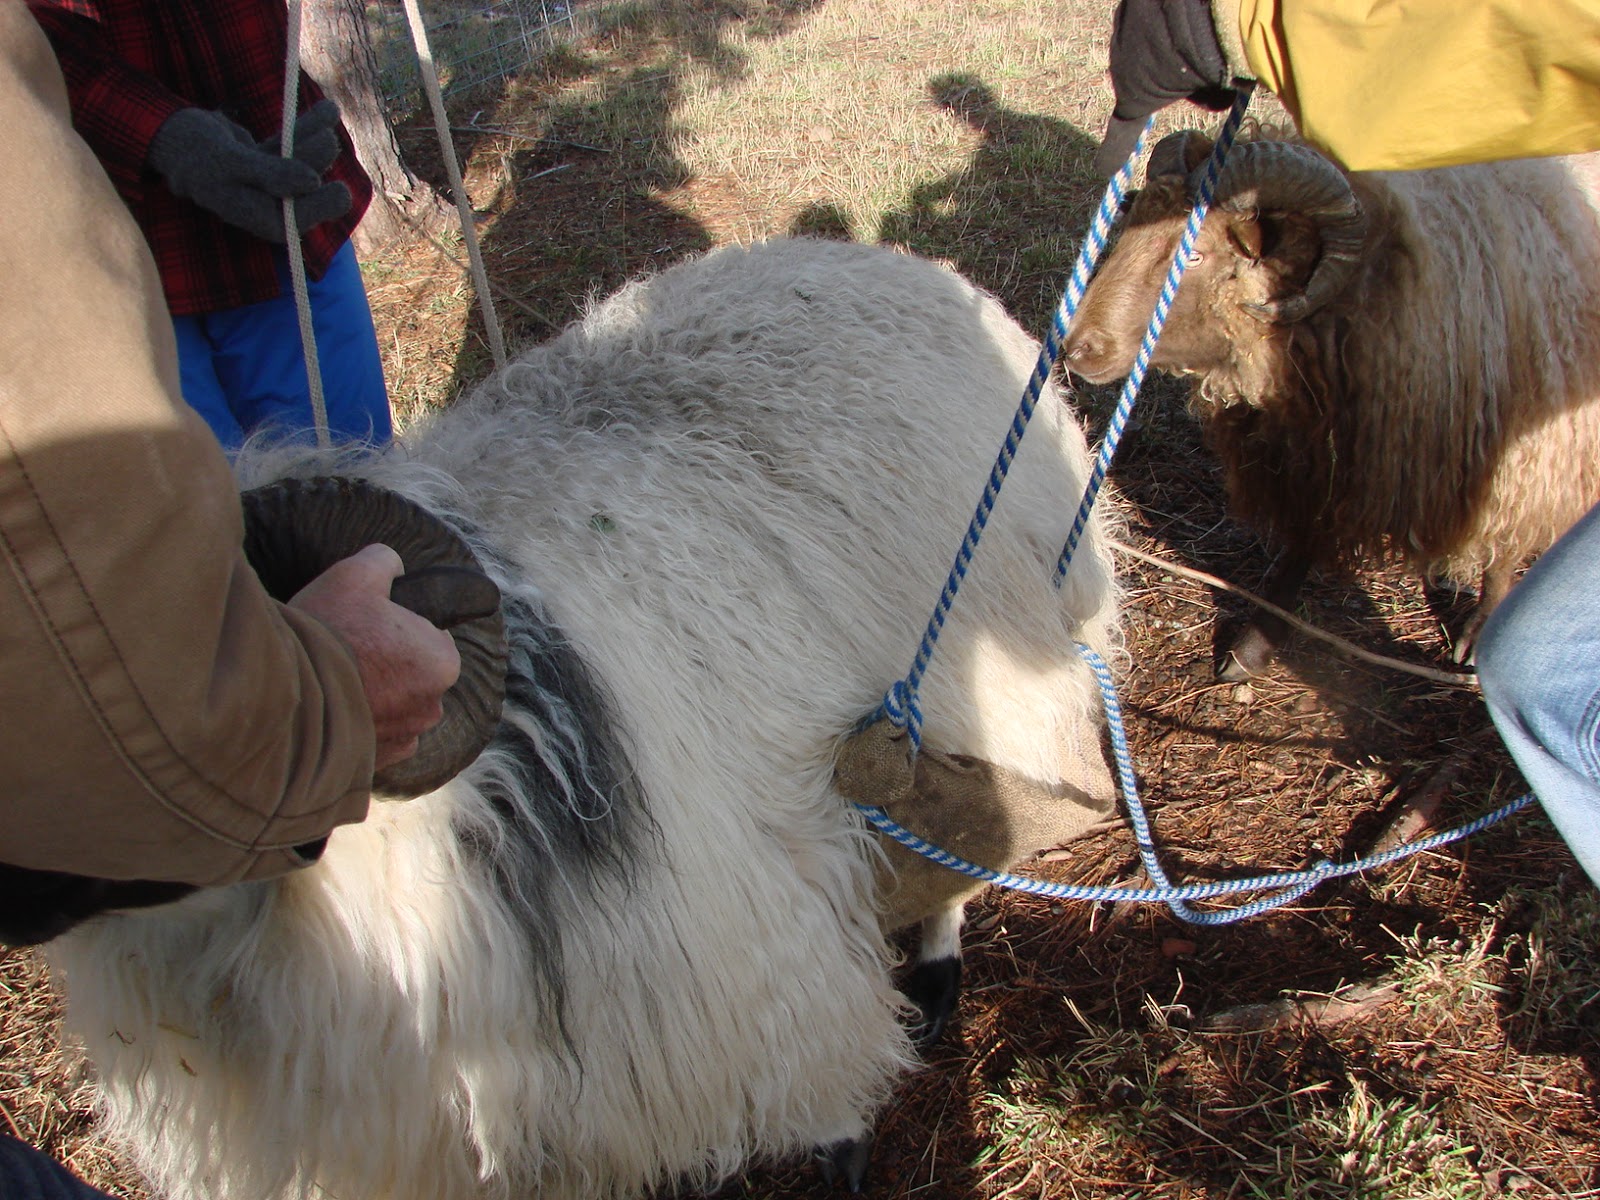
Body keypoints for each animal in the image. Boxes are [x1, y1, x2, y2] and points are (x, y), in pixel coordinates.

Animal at [1064, 129, 1600, 680]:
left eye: (1196, 255)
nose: (1077, 347)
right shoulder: (1314, 460)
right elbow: (1299, 549)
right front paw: (1254, 646)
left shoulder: (1532, 451)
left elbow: (1507, 544)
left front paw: (1485, 627)